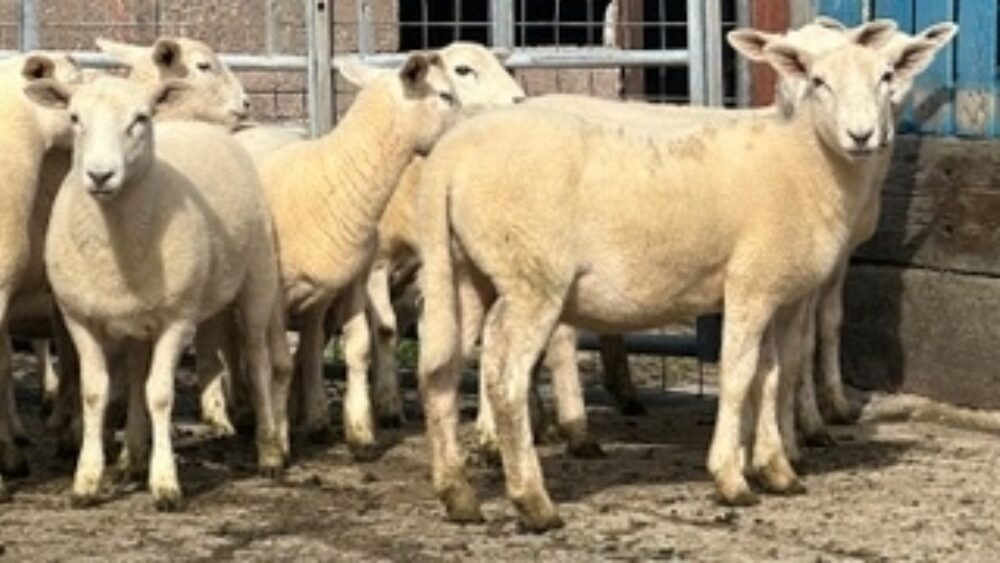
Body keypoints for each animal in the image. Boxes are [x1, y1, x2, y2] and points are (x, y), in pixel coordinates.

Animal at [23, 75, 292, 509]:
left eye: (141, 119)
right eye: (74, 118)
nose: (100, 175)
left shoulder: (176, 320)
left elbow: (160, 395)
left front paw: (165, 483)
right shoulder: (80, 318)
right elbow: (95, 393)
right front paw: (87, 480)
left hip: (258, 277)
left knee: (257, 359)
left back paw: (269, 452)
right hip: (136, 321)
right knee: (135, 374)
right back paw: (131, 459)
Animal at [415, 26, 944, 530]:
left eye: (886, 77)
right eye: (819, 81)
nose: (862, 135)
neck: (807, 163)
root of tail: (450, 157)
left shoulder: (781, 294)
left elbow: (773, 377)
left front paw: (775, 470)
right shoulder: (750, 285)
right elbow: (738, 377)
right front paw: (731, 478)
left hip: (466, 271)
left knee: (441, 368)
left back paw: (457, 495)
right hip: (532, 274)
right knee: (505, 378)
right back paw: (533, 501)